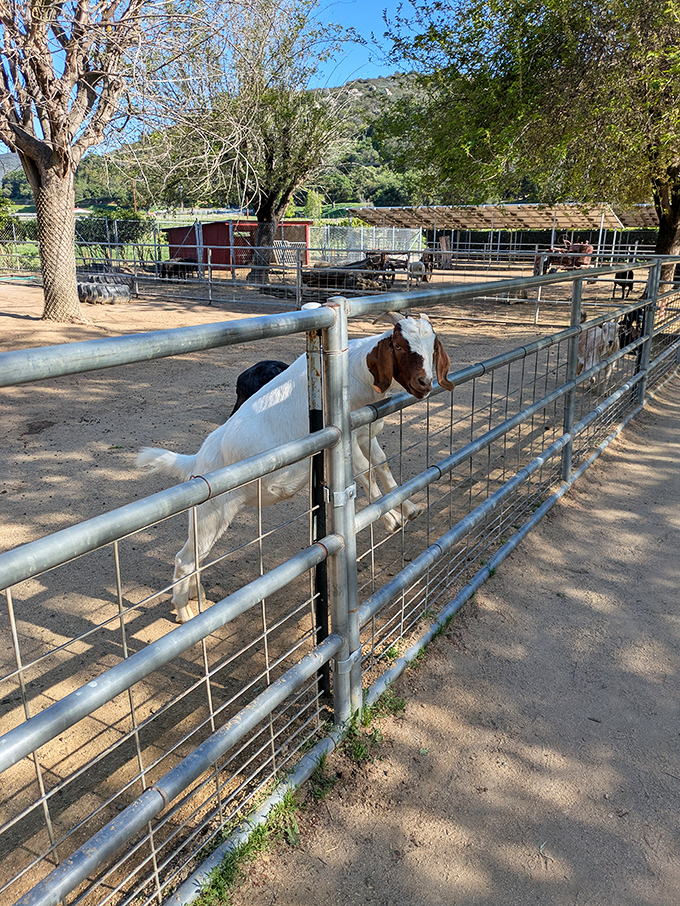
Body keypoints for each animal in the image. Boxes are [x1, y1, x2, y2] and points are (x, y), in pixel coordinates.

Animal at [137, 315, 454, 623]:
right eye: (399, 346)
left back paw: (198, 598)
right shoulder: (346, 438)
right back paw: (184, 613)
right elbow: (364, 473)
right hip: (210, 511)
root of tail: (196, 461)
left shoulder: (367, 432)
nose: (425, 382)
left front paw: (409, 507)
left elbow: (382, 465)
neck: (350, 373)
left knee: (196, 559)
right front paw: (390, 518)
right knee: (185, 559)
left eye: (432, 346)